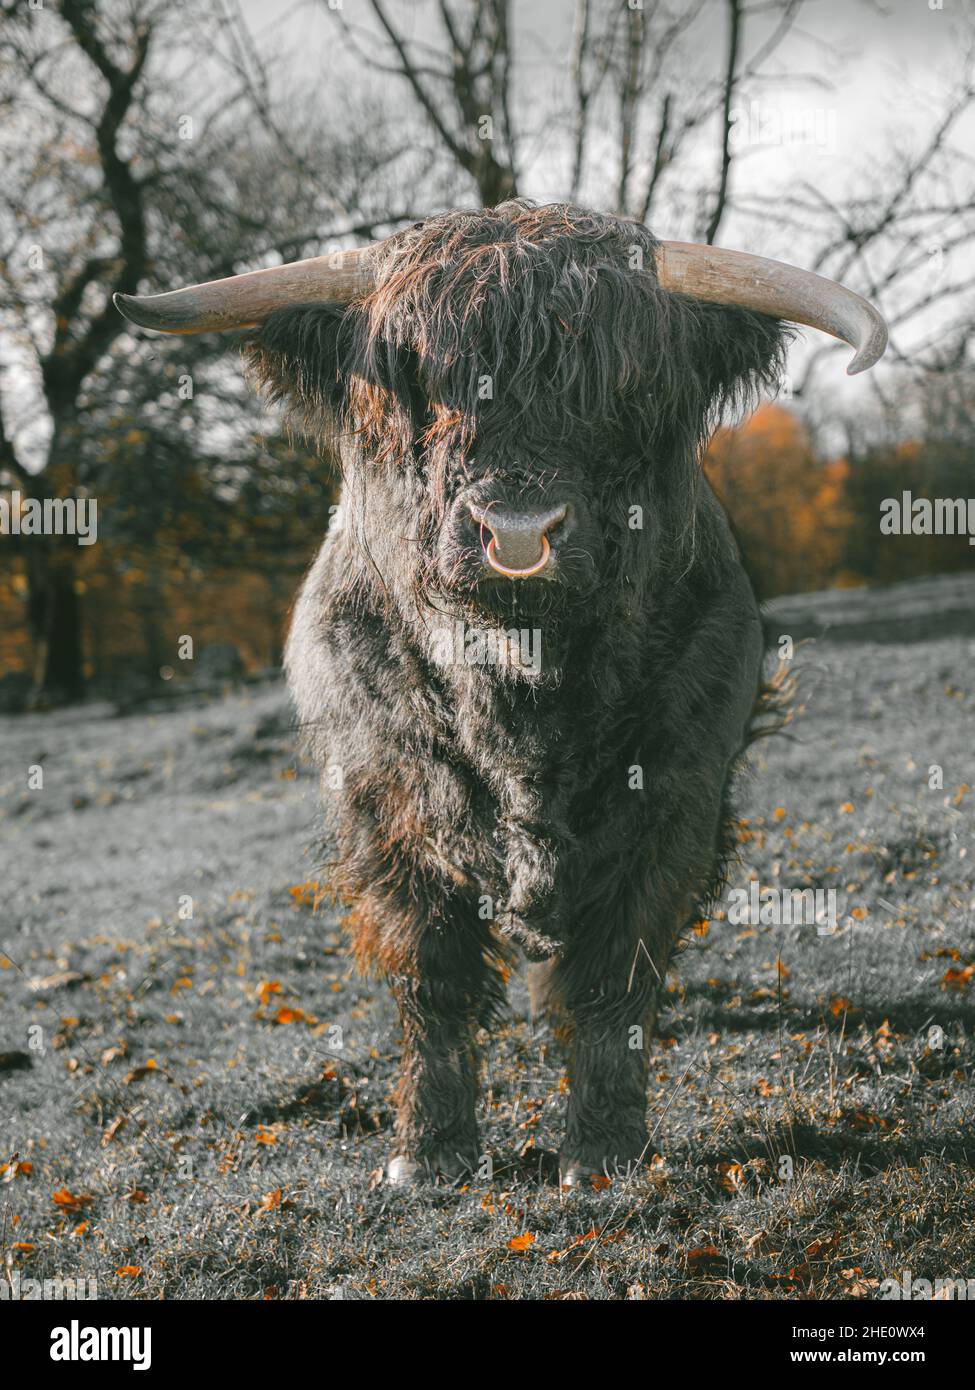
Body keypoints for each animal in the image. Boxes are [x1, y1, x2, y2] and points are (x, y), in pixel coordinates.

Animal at [115, 201, 886, 1185]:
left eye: (622, 385)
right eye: (416, 380)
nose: (515, 528)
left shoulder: (675, 793)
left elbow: (615, 974)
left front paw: (601, 1148)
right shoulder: (383, 803)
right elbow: (431, 977)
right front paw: (427, 1152)